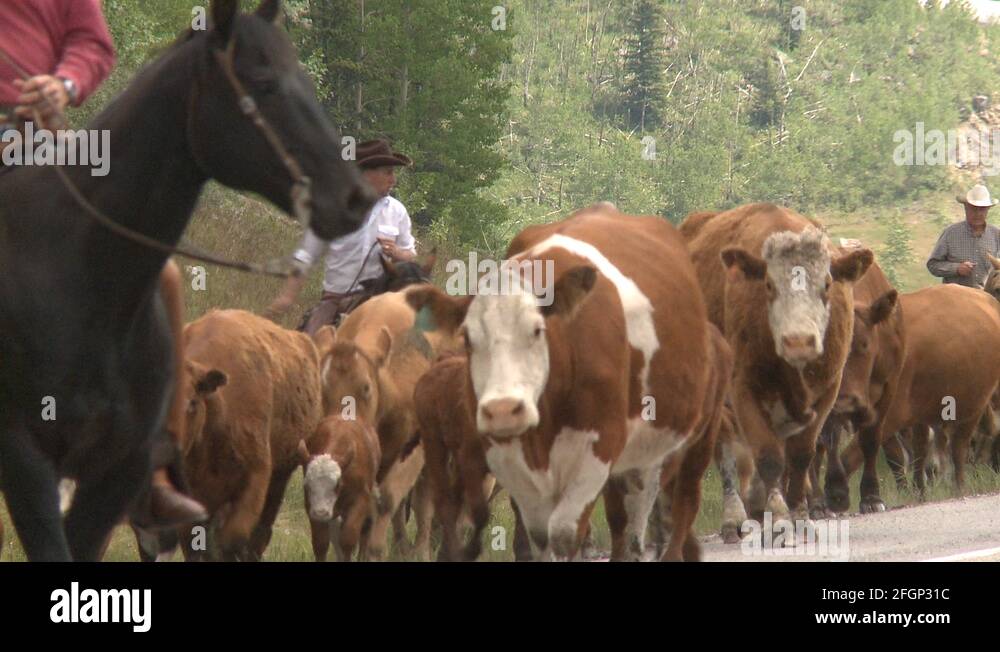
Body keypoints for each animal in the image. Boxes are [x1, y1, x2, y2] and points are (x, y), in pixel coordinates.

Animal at [298, 416, 381, 561]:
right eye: (307, 484)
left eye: (337, 484)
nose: (321, 513)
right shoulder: (311, 507)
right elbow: (320, 543)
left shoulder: (361, 500)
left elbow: (348, 540)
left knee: (366, 528)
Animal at [407, 203, 722, 561]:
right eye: (467, 337)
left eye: (537, 330)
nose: (503, 410)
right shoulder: (507, 458)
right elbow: (539, 535)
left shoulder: (598, 450)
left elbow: (564, 533)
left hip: (657, 451)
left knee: (644, 518)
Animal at [680, 203, 873, 534]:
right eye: (769, 285)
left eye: (826, 284)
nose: (798, 341)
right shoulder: (744, 389)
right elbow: (768, 457)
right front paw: (780, 518)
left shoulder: (826, 393)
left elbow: (800, 456)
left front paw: (799, 514)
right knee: (726, 453)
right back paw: (735, 517)